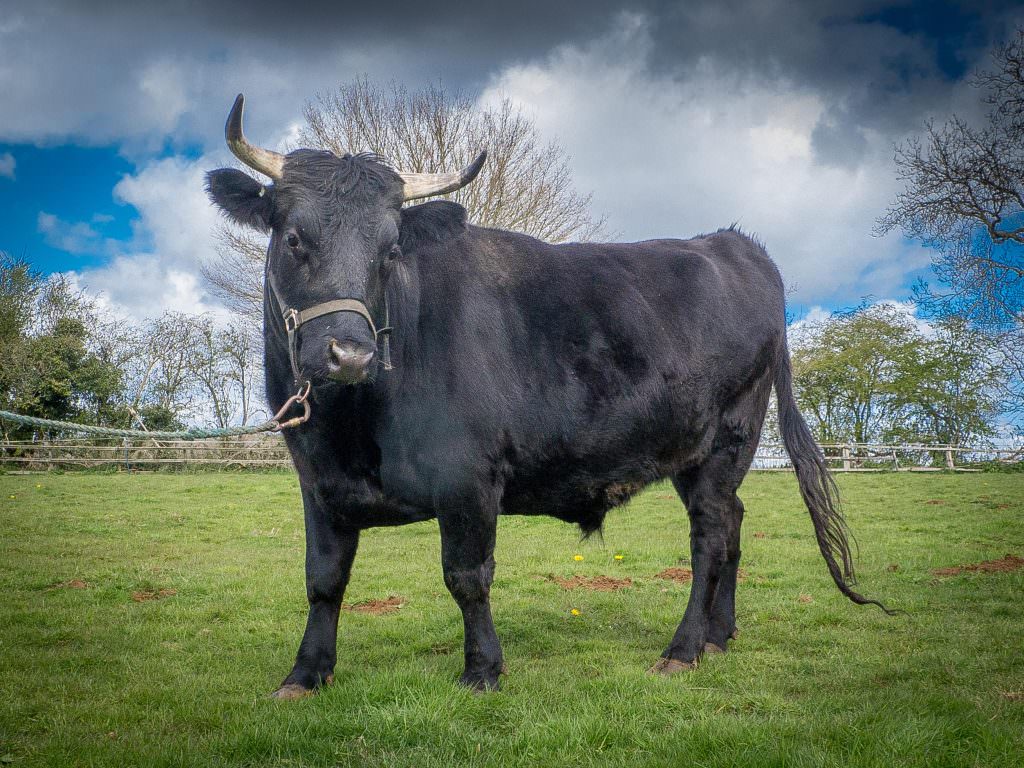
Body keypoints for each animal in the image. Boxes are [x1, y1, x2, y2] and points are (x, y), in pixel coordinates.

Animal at [206, 94, 888, 698]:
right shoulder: (318, 484)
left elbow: (467, 577)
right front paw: (305, 675)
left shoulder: (468, 480)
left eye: (390, 249)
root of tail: (732, 243)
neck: (352, 426)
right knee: (736, 527)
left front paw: (483, 670)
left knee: (711, 538)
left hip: (726, 440)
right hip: (700, 455)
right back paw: (720, 636)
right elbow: (323, 580)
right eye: (294, 238)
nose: (350, 354)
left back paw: (684, 648)